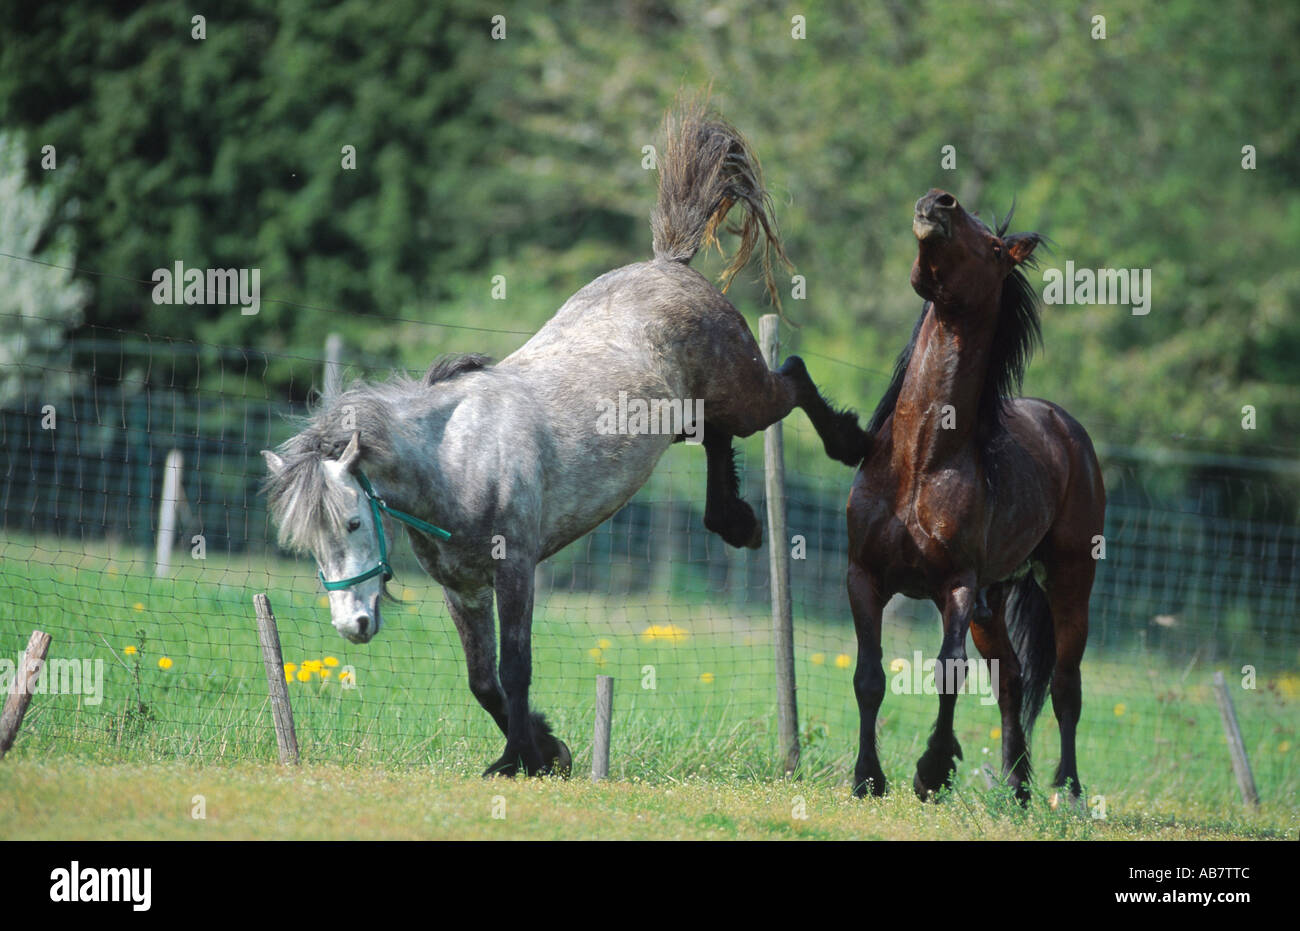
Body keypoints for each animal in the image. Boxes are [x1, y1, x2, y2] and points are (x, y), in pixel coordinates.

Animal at [260, 101, 868, 779]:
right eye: (308, 543)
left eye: (353, 524)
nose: (355, 626)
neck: (456, 459)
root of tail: (670, 265)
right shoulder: (463, 590)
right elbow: (482, 682)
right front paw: (544, 749)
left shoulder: (516, 571)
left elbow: (515, 670)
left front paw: (525, 760)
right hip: (693, 411)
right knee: (715, 438)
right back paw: (735, 521)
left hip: (745, 395)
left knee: (791, 378)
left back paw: (849, 444)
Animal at [845, 189, 1106, 804]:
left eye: (992, 246)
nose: (937, 200)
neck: (920, 461)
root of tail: (1065, 427)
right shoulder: (862, 577)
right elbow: (869, 677)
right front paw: (867, 777)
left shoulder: (956, 585)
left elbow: (948, 671)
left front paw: (932, 770)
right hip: (996, 597)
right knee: (1012, 678)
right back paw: (1015, 788)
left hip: (1069, 580)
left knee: (1065, 686)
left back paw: (1068, 792)